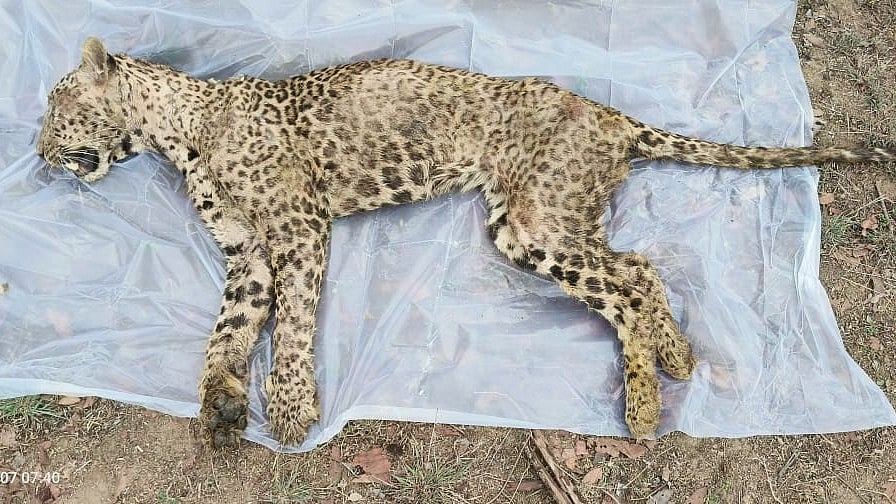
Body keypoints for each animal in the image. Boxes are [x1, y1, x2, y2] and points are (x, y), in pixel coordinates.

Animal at [36, 37, 895, 449]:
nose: (39, 153)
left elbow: (291, 327)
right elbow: (228, 330)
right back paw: (676, 356)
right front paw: (219, 402)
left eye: (55, 108)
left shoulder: (298, 231)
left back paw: (645, 401)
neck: (176, 134)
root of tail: (612, 114)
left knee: (620, 286)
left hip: (535, 221)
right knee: (640, 267)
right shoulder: (247, 252)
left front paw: (286, 410)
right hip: (541, 220)